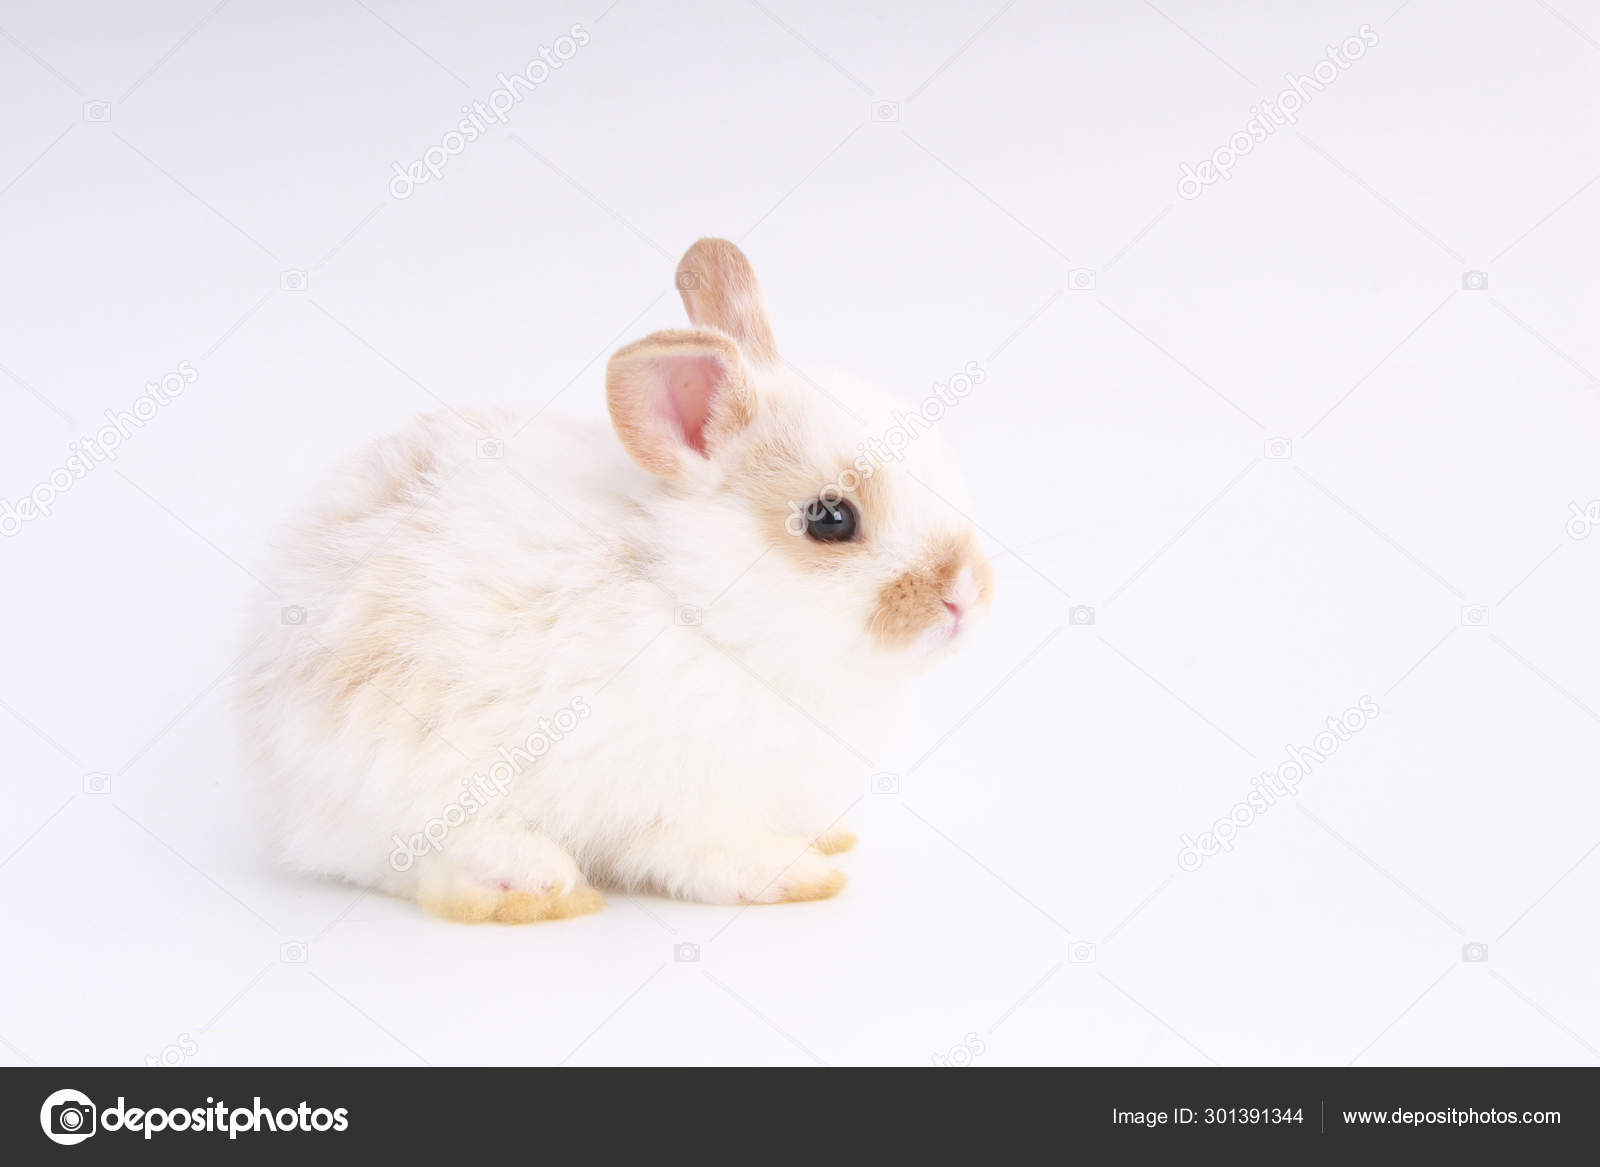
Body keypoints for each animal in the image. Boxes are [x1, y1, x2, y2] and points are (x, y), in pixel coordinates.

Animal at [238, 238, 994, 923]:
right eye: (829, 519)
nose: (965, 596)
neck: (694, 606)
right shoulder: (676, 805)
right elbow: (703, 854)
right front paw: (799, 877)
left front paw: (829, 842)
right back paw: (535, 883)